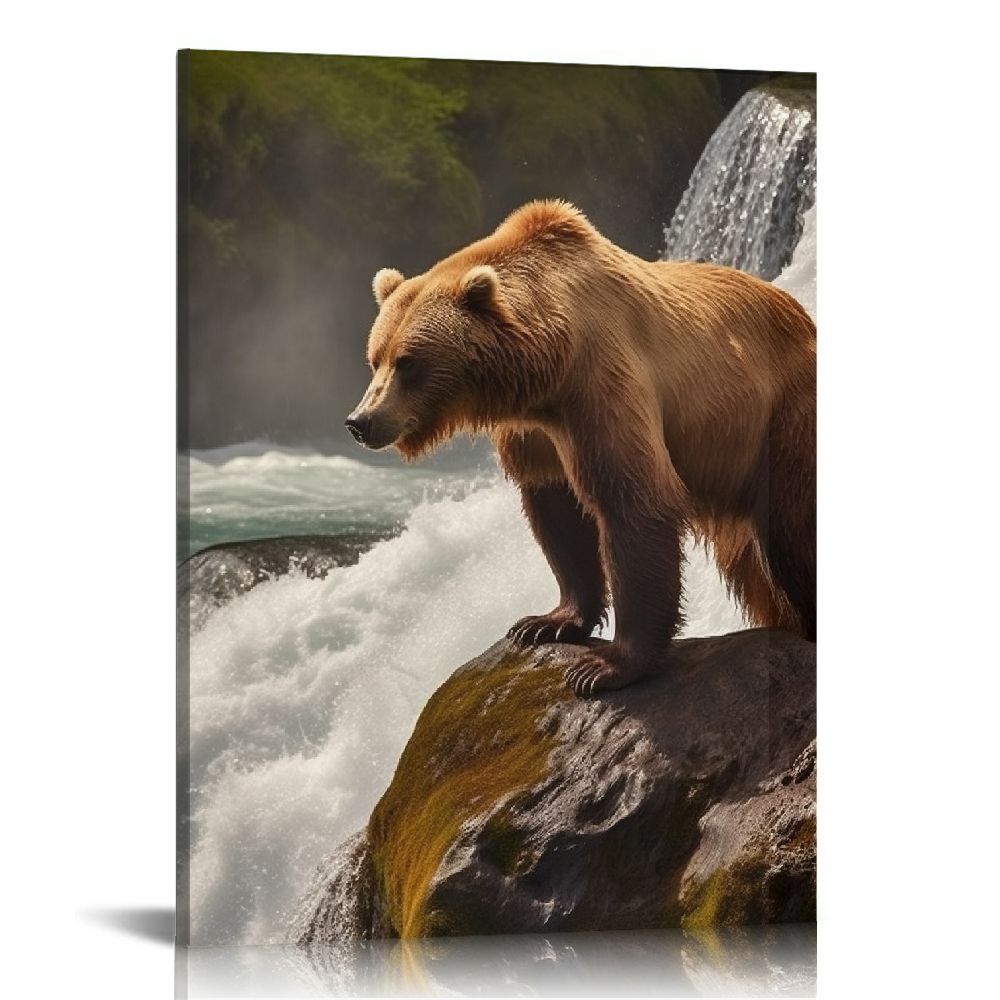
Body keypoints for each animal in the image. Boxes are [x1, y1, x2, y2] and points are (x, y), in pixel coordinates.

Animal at [346, 200, 816, 697]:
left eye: (409, 362)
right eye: (375, 358)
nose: (361, 421)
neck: (550, 368)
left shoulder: (600, 382)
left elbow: (633, 502)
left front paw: (605, 666)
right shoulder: (536, 431)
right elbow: (558, 512)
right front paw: (545, 622)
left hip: (781, 418)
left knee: (792, 530)